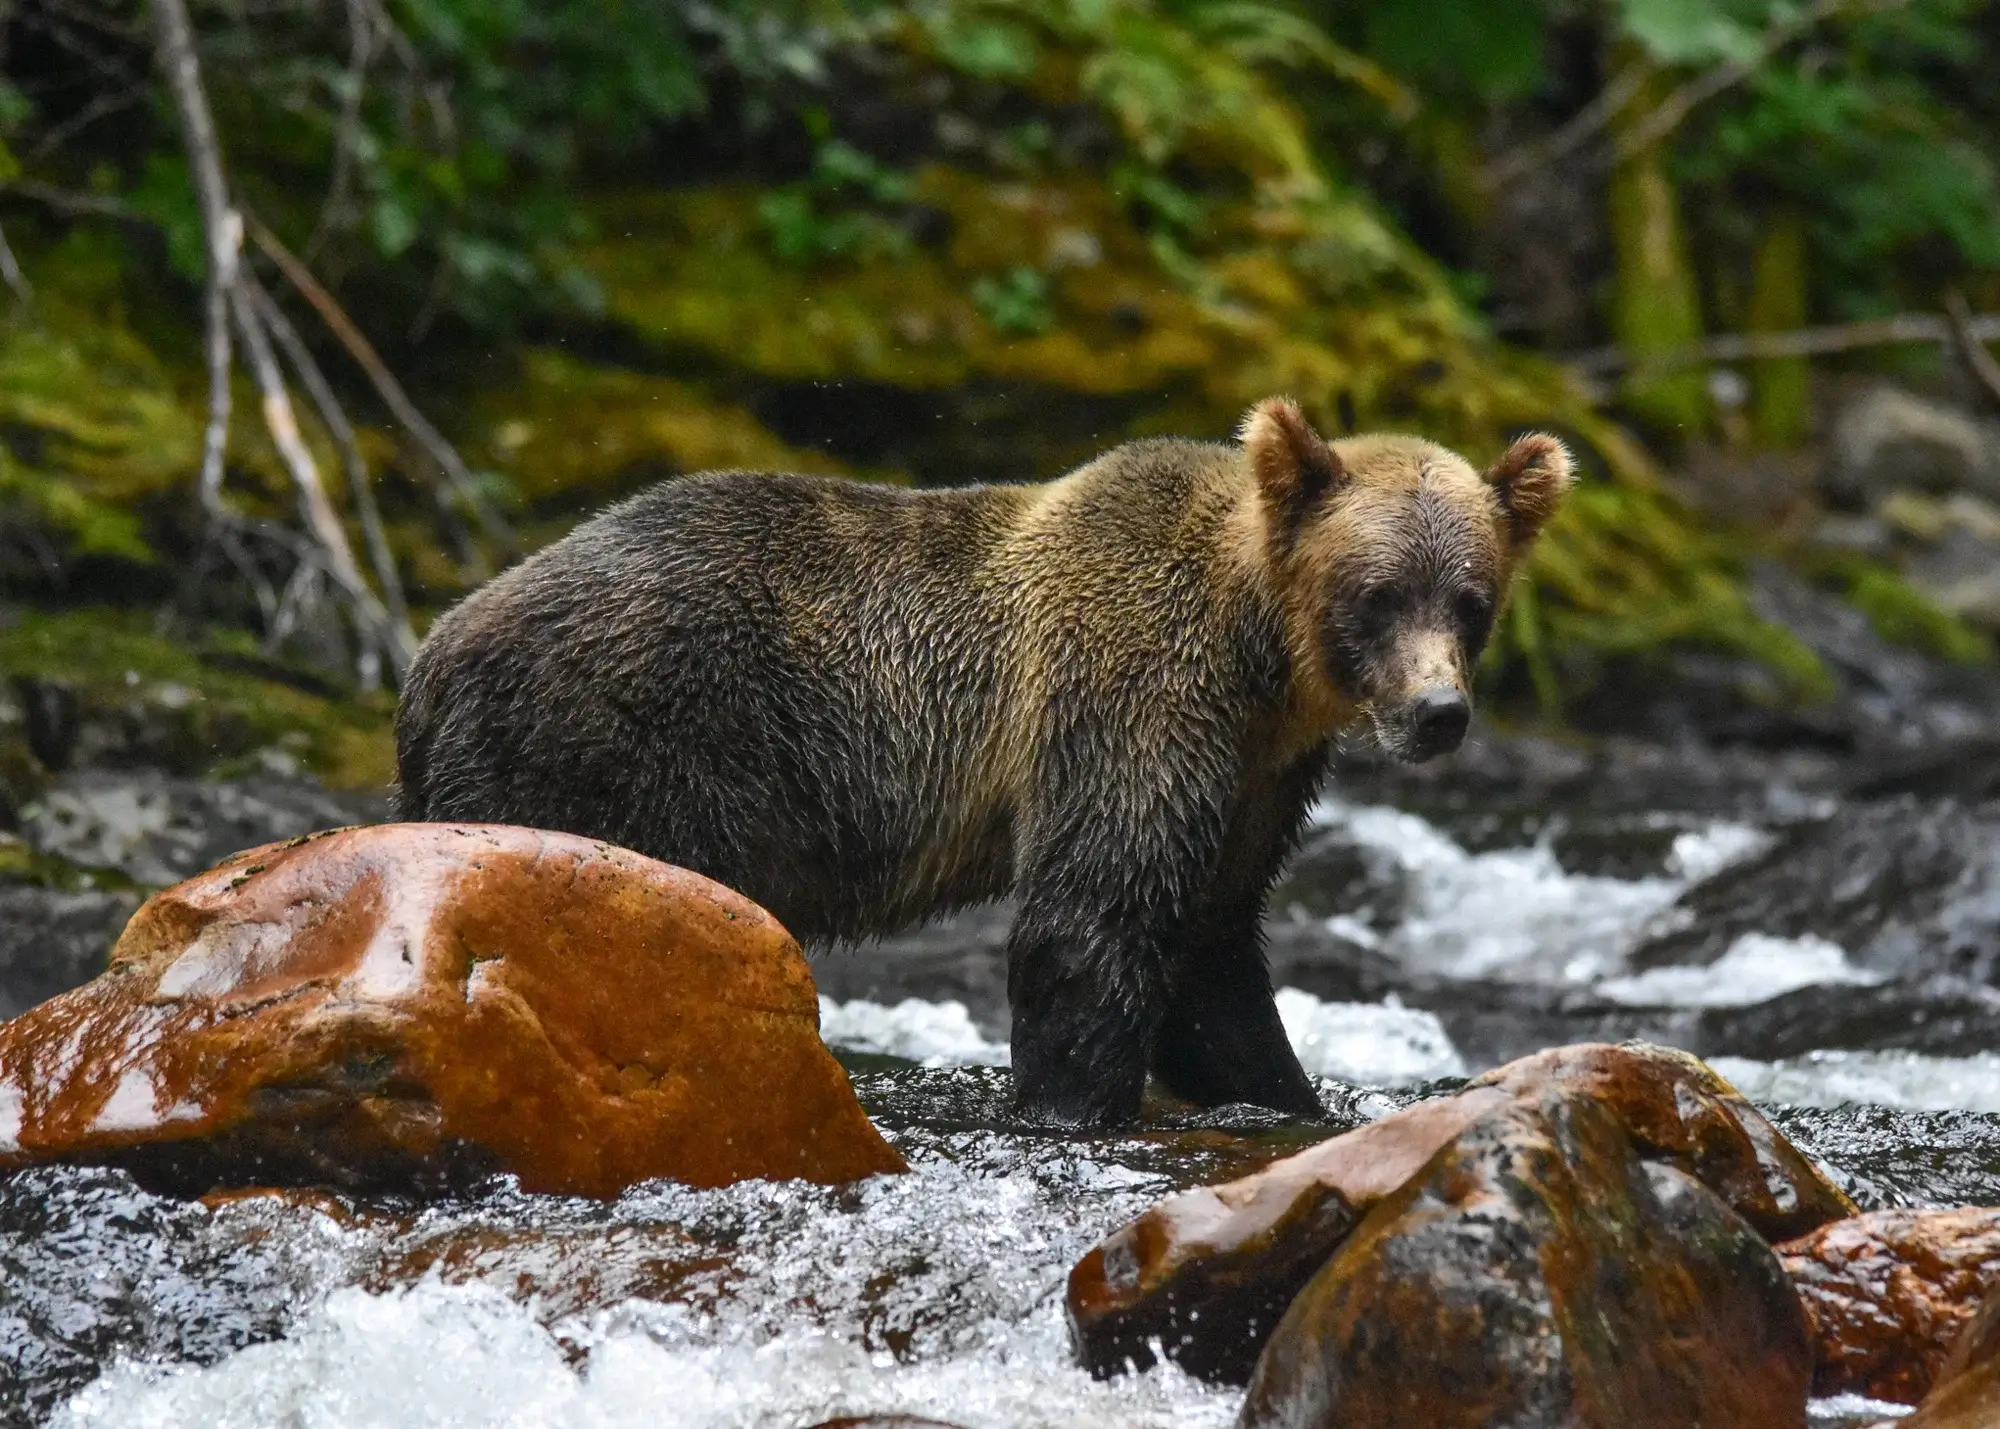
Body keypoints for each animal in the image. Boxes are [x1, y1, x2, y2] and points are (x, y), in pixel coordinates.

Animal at [395, 399, 1573, 1126]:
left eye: (1470, 599)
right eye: (1377, 594)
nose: (1435, 713)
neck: (1257, 658)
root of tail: (431, 649)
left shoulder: (1255, 772)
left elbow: (1212, 946)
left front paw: (1290, 1096)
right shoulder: (1130, 696)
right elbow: (1093, 918)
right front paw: (1072, 1105)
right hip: (606, 747)